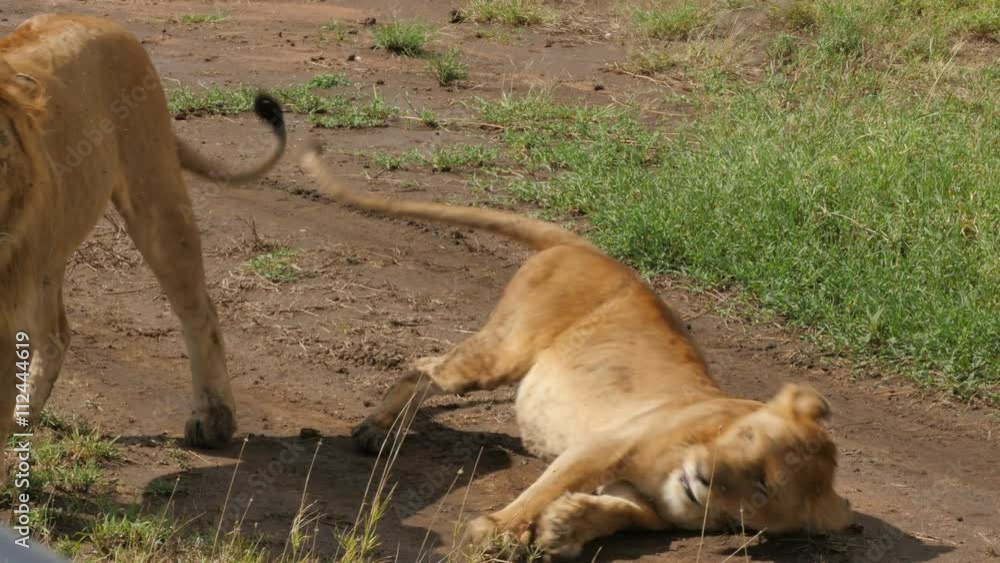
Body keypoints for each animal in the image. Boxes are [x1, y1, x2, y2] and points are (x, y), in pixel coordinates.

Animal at [0, 15, 286, 460]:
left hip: (156, 199)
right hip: (50, 247)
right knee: (55, 334)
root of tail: (97, 19)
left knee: (199, 308)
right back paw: (24, 414)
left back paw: (213, 420)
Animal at [298, 143, 852, 558]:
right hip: (501, 354)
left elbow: (624, 515)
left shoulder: (646, 502)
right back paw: (376, 432)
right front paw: (497, 532)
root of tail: (594, 250)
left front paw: (562, 527)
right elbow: (548, 485)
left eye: (762, 490)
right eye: (748, 437)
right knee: (423, 366)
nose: (704, 474)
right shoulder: (605, 444)